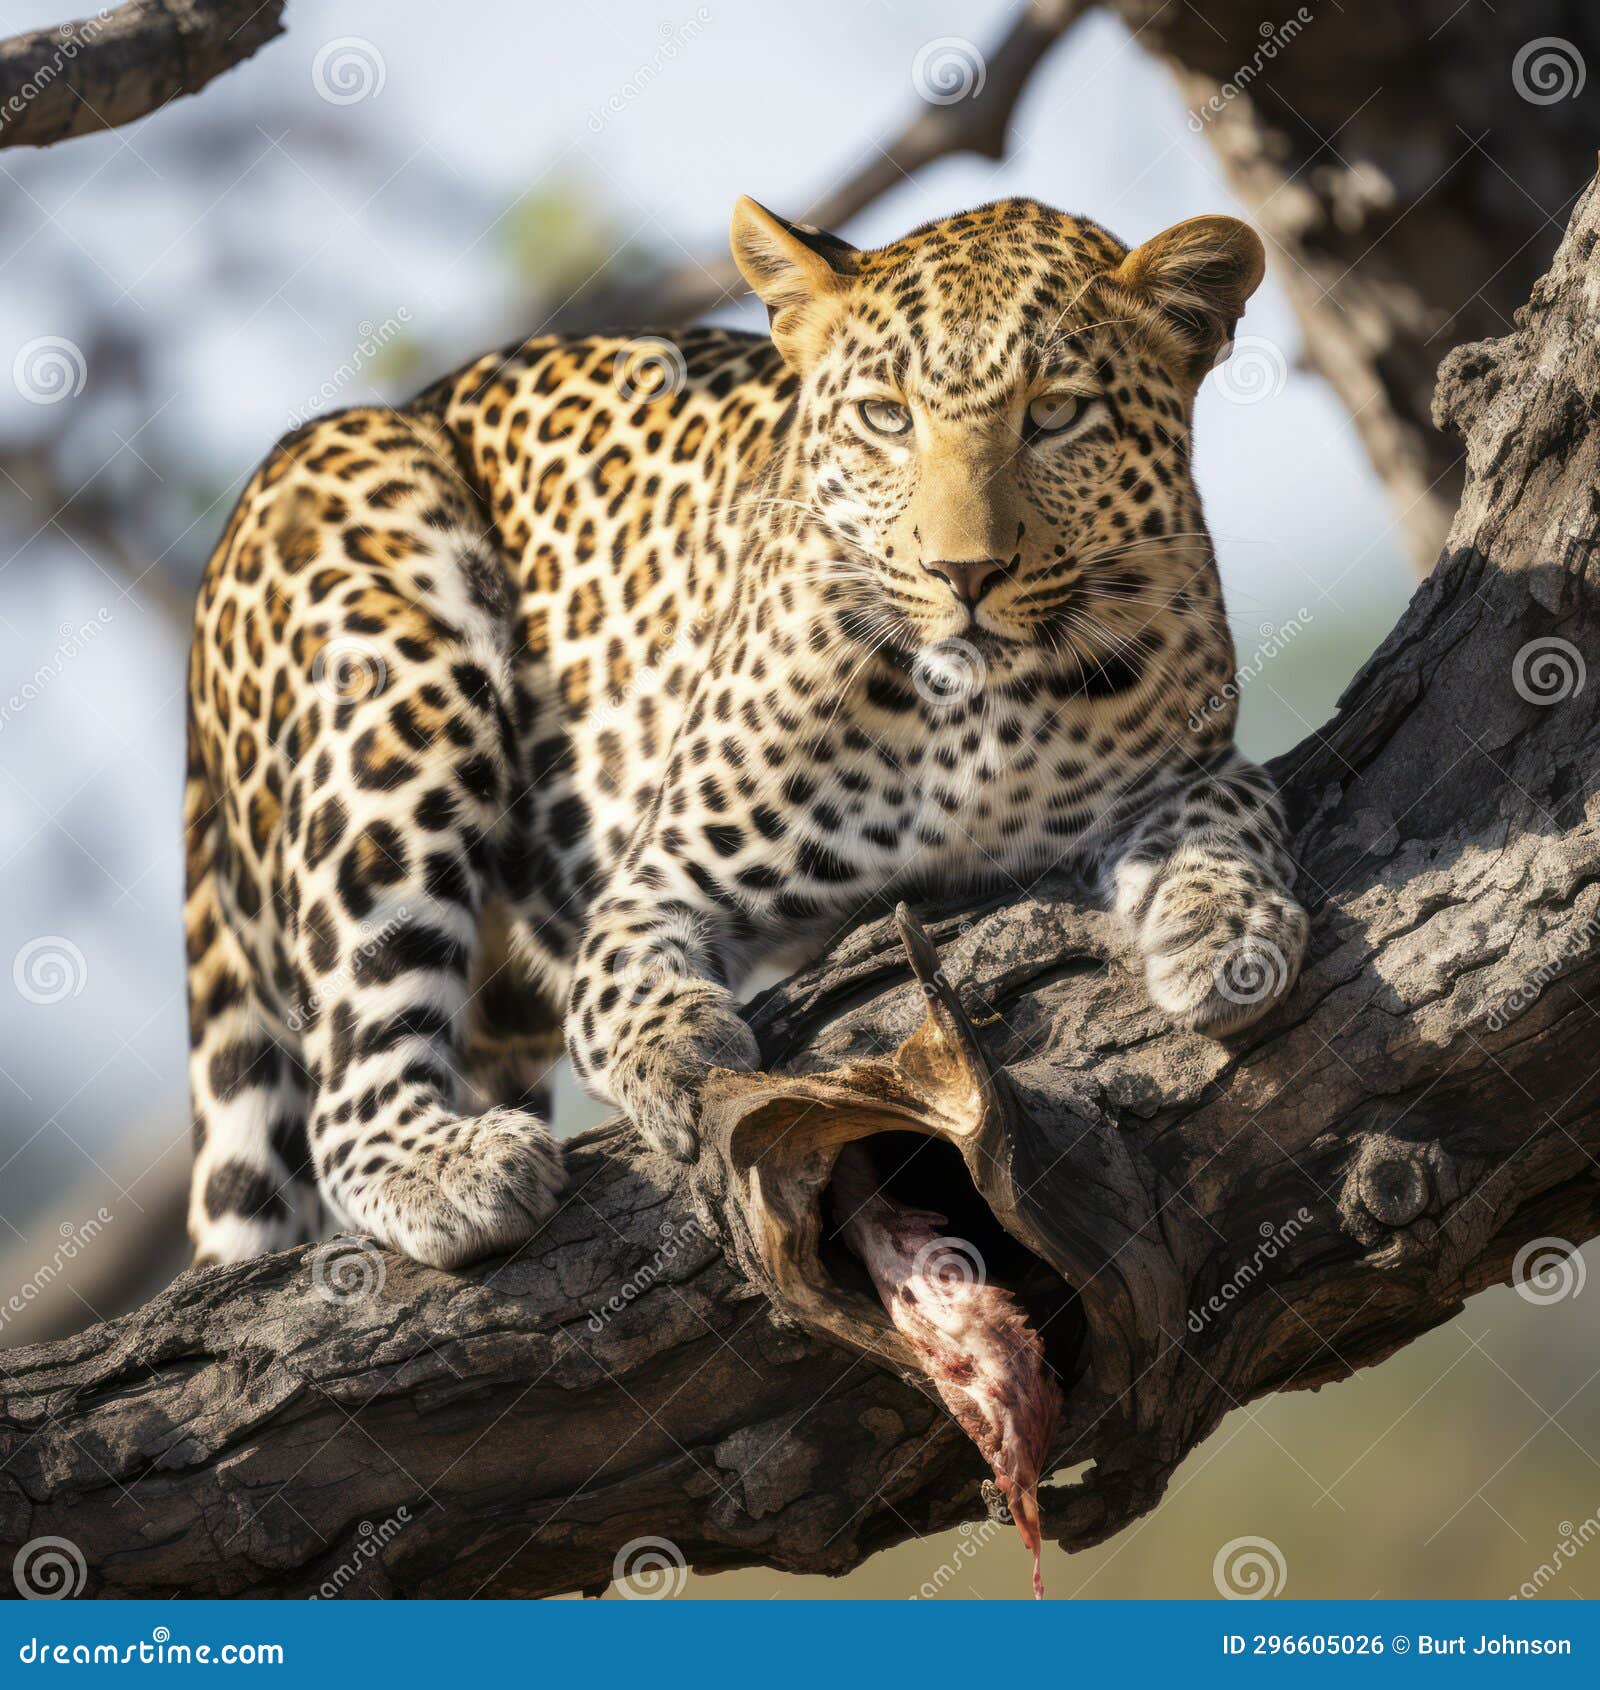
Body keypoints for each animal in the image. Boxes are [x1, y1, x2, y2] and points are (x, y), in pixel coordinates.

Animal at [184, 195, 1308, 1270]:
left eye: (1057, 414)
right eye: (885, 417)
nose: (965, 574)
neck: (979, 716)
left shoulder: (1190, 759)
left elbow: (1235, 797)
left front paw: (1228, 929)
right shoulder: (659, 876)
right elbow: (618, 978)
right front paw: (677, 1054)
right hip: (393, 681)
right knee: (348, 1067)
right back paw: (439, 1167)